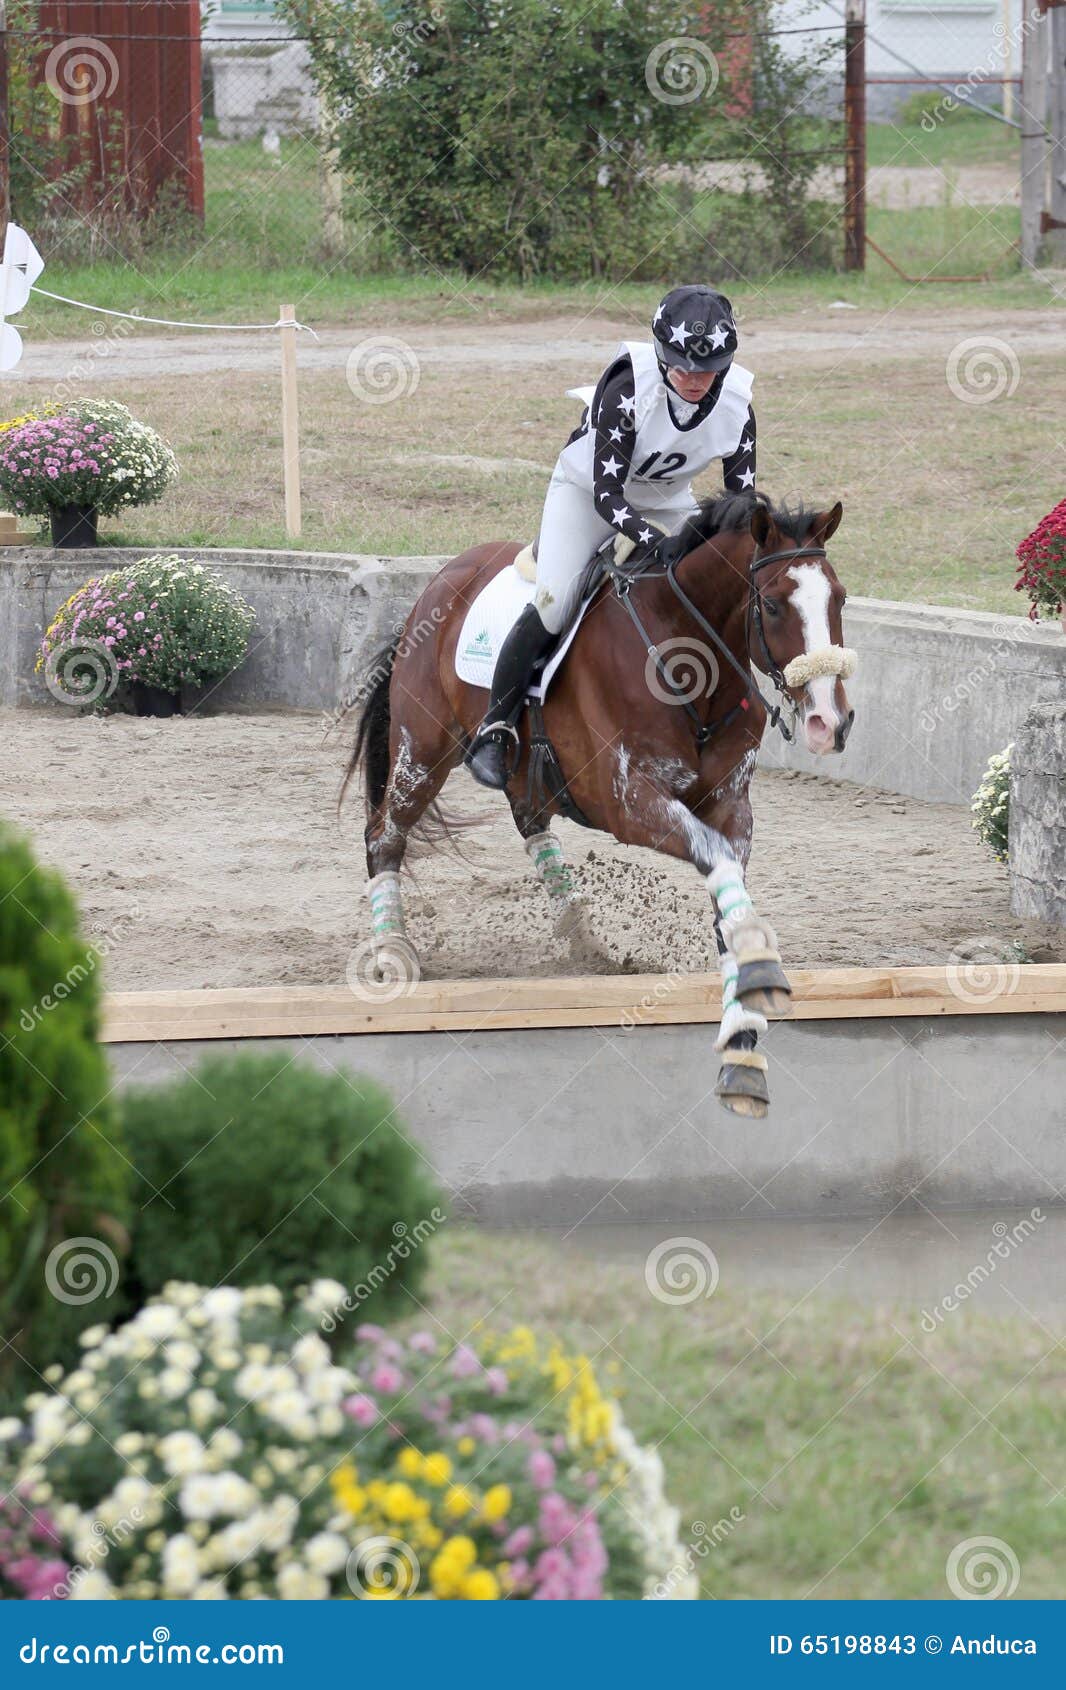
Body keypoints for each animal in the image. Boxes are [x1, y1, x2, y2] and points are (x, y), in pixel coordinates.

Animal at [343, 488, 856, 1118]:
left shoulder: (732, 808)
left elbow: (726, 885)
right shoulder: (629, 804)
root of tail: (438, 581)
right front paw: (759, 974)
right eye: (777, 606)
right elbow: (715, 860)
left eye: (839, 598)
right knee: (384, 834)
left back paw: (581, 934)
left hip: (523, 770)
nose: (829, 722)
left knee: (529, 822)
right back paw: (392, 952)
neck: (687, 659)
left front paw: (743, 1048)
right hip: (423, 748)